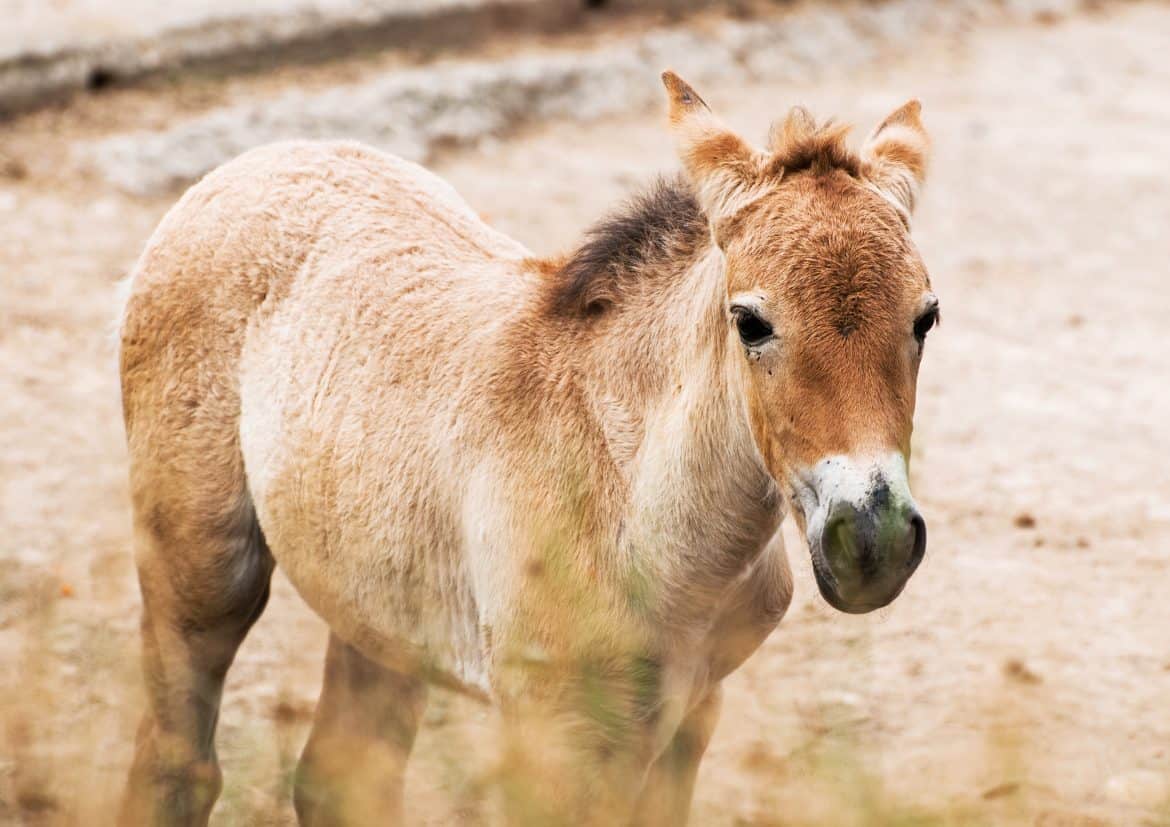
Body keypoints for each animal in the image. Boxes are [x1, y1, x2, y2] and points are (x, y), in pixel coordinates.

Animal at [117, 71, 936, 825]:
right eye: (751, 322)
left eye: (926, 316)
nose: (872, 541)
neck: (633, 501)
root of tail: (252, 162)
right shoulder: (554, 735)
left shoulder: (692, 713)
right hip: (200, 571)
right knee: (176, 765)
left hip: (375, 598)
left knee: (339, 777)